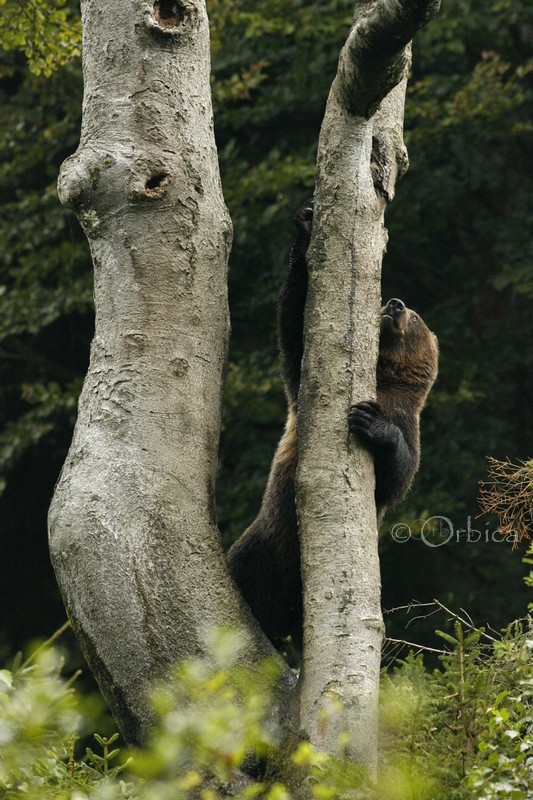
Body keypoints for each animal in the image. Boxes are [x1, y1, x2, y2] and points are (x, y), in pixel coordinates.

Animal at [227, 201, 439, 650]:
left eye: (415, 315)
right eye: (387, 300)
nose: (395, 302)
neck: (383, 378)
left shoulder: (409, 422)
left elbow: (399, 475)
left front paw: (369, 421)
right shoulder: (301, 386)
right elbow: (292, 323)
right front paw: (306, 224)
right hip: (266, 543)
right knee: (247, 571)